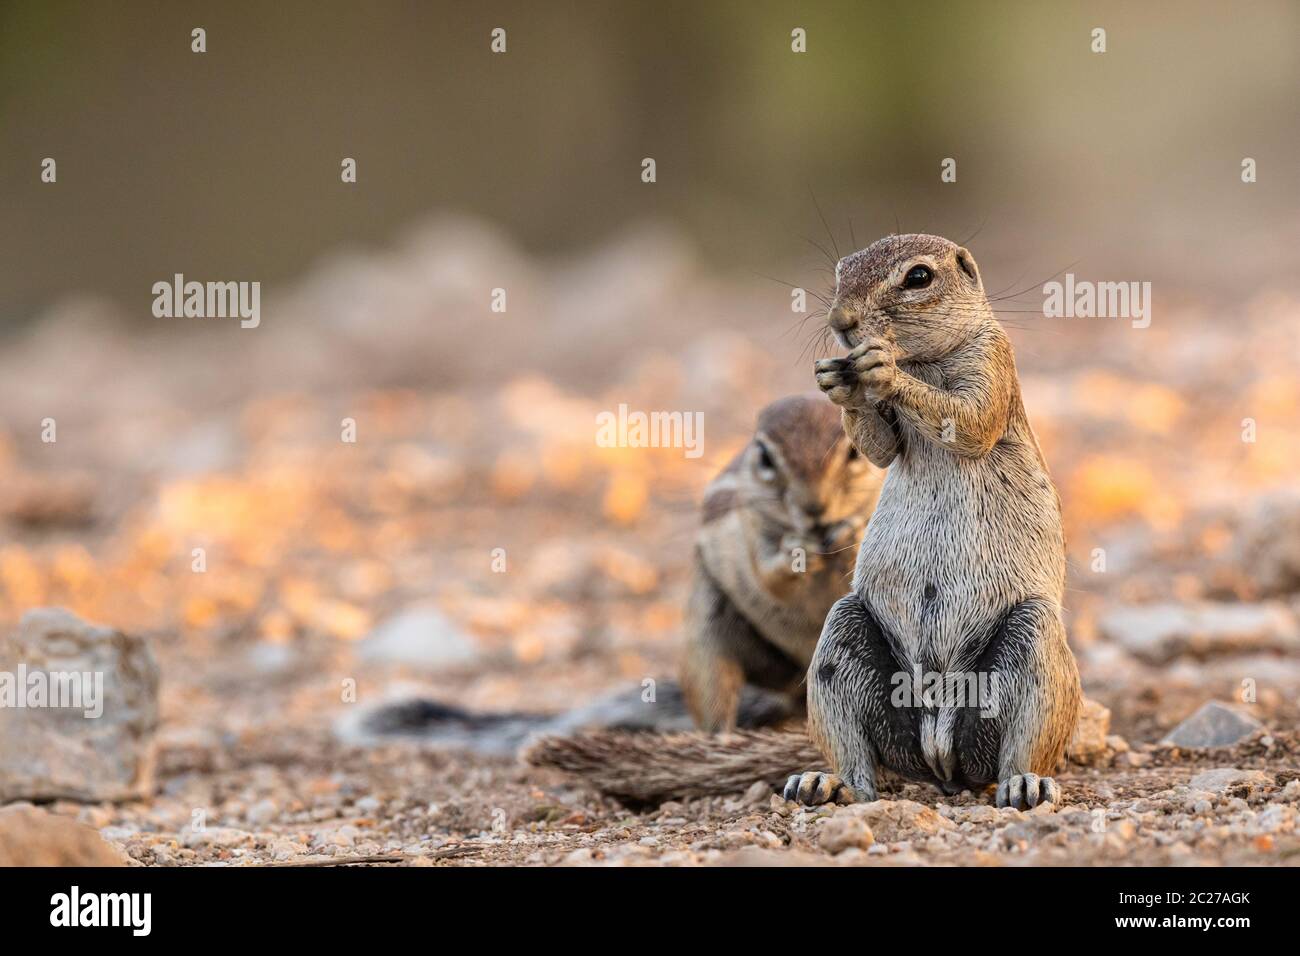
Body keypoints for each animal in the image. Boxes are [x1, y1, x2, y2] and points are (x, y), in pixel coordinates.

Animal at [336, 395, 883, 752]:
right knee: (716, 699)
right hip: (709, 639)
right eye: (764, 457)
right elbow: (770, 573)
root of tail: (795, 686)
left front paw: (850, 531)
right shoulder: (746, 528)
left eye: (852, 452)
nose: (815, 511)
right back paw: (724, 739)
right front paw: (797, 548)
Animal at [528, 234, 1082, 812]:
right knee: (860, 762)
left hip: (1031, 645)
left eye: (918, 277)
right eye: (840, 271)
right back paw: (827, 783)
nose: (841, 321)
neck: (923, 360)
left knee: (1020, 747)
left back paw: (1024, 783)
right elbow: (882, 449)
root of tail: (939, 753)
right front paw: (839, 383)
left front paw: (881, 369)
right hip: (843, 634)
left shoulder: (992, 363)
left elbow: (970, 420)